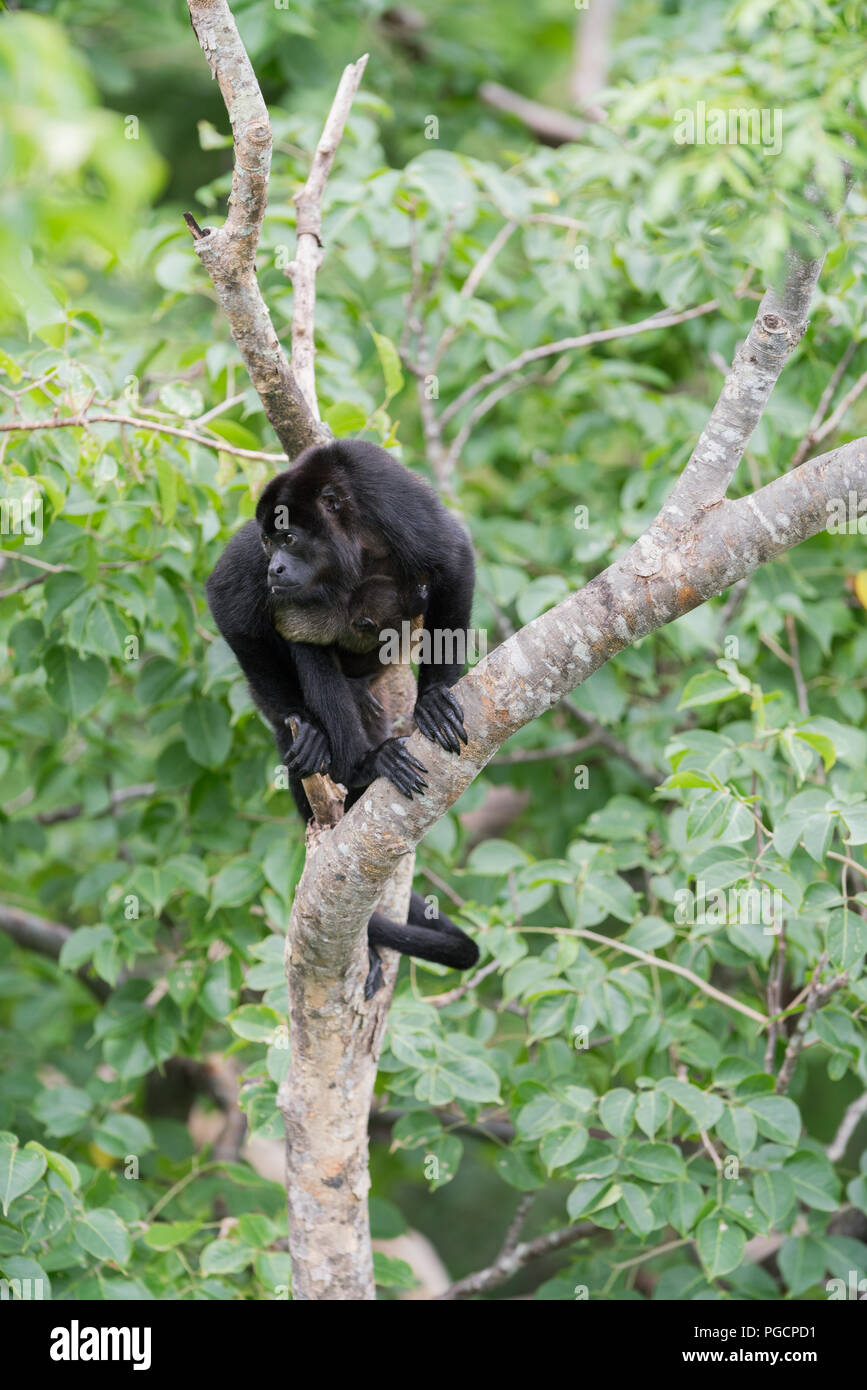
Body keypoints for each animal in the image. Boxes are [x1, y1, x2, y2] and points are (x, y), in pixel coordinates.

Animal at [205, 439, 479, 994]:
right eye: (268, 542)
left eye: (289, 538)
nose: (275, 568)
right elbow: (228, 598)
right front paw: (308, 728)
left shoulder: (387, 495)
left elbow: (453, 557)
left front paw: (435, 695)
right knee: (304, 641)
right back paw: (360, 764)